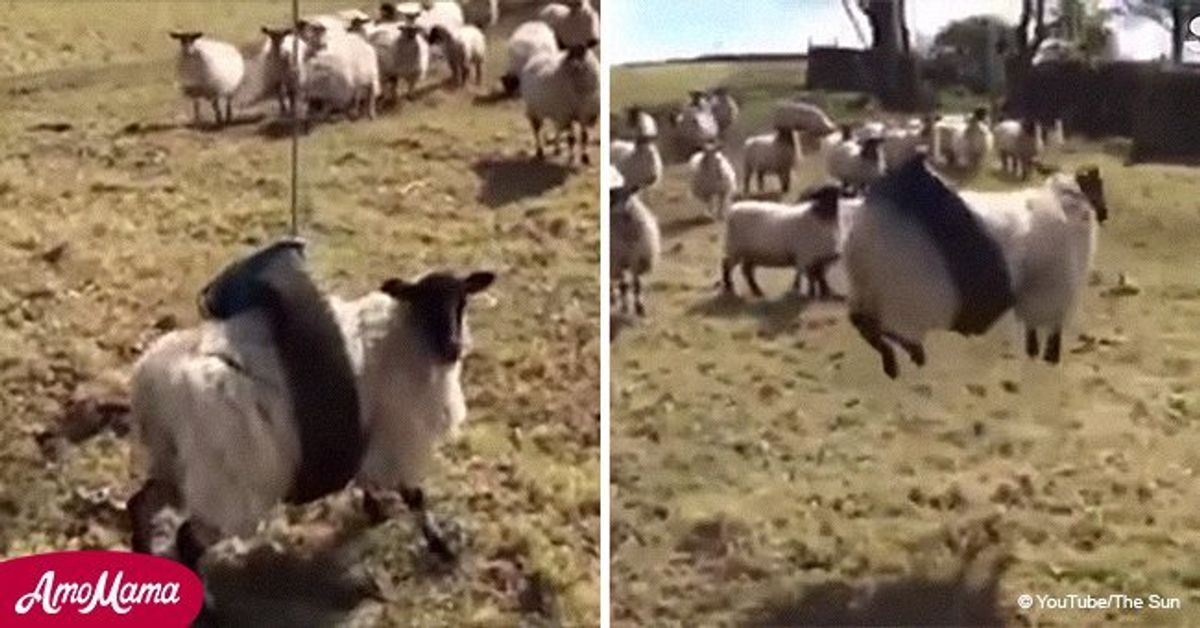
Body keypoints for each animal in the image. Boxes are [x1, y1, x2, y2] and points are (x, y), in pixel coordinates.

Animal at [128, 248, 497, 567]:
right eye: (423, 301)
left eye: (462, 300)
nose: (453, 347)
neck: (406, 338)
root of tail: (155, 379)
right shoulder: (395, 438)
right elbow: (415, 495)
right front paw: (440, 545)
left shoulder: (366, 436)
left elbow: (369, 480)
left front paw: (375, 508)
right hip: (227, 483)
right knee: (188, 540)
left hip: (171, 460)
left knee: (141, 505)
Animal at [611, 179, 661, 317]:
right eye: (612, 195)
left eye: (628, 193)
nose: (620, 208)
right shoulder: (618, 260)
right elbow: (623, 285)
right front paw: (625, 307)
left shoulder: (637, 258)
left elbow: (637, 284)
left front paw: (640, 308)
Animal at [842, 155, 1108, 378]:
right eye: (1097, 184)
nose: (1104, 213)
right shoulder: (1053, 293)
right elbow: (1048, 333)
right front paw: (1047, 358)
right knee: (876, 328)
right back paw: (905, 359)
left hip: (876, 295)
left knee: (866, 325)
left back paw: (903, 360)